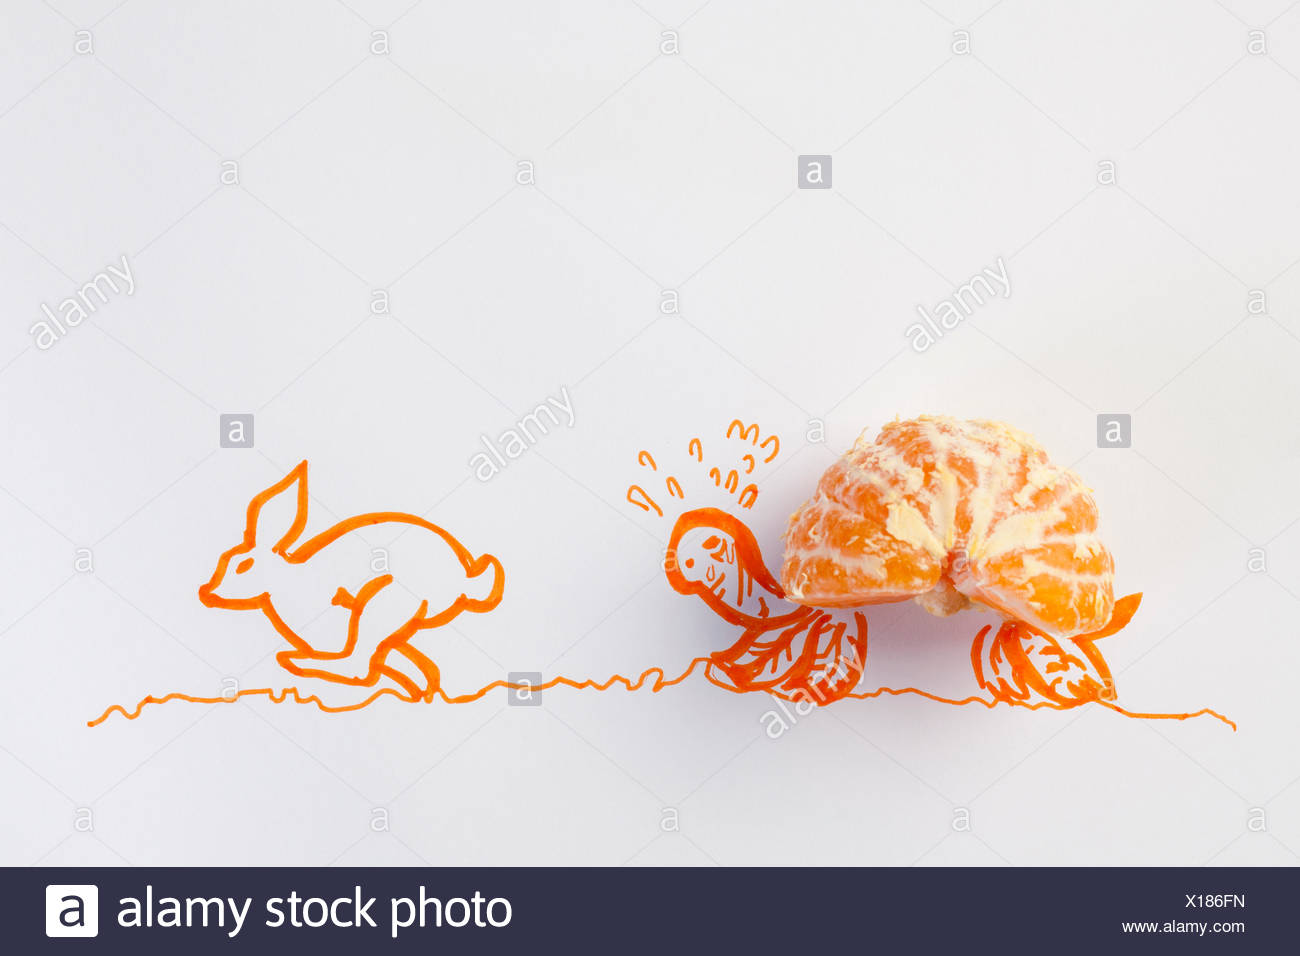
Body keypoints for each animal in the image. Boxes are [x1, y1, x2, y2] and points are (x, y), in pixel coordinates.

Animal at [198, 461, 503, 701]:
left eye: (242, 566)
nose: (207, 593)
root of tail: (464, 581)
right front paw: (420, 688)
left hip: (387, 601)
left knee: (358, 667)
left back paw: (296, 661)